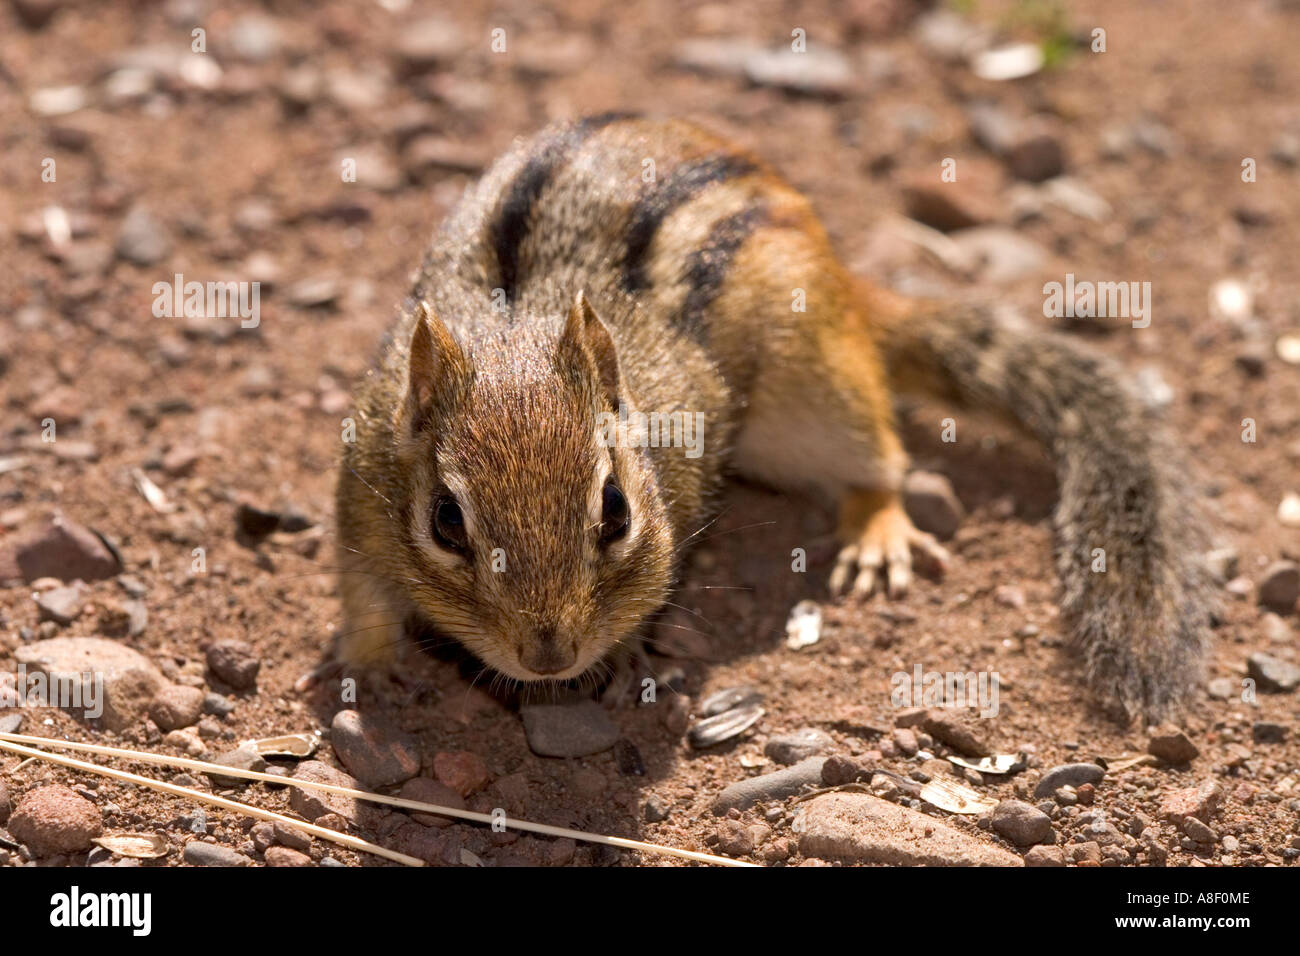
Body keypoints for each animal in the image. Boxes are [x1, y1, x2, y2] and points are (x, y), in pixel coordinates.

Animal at [335, 114, 1216, 721]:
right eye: (446, 522)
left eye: (616, 512)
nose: (548, 655)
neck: (516, 323)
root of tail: (844, 280)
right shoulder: (360, 485)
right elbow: (363, 591)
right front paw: (367, 665)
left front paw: (626, 657)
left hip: (813, 393)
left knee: (881, 458)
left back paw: (878, 532)